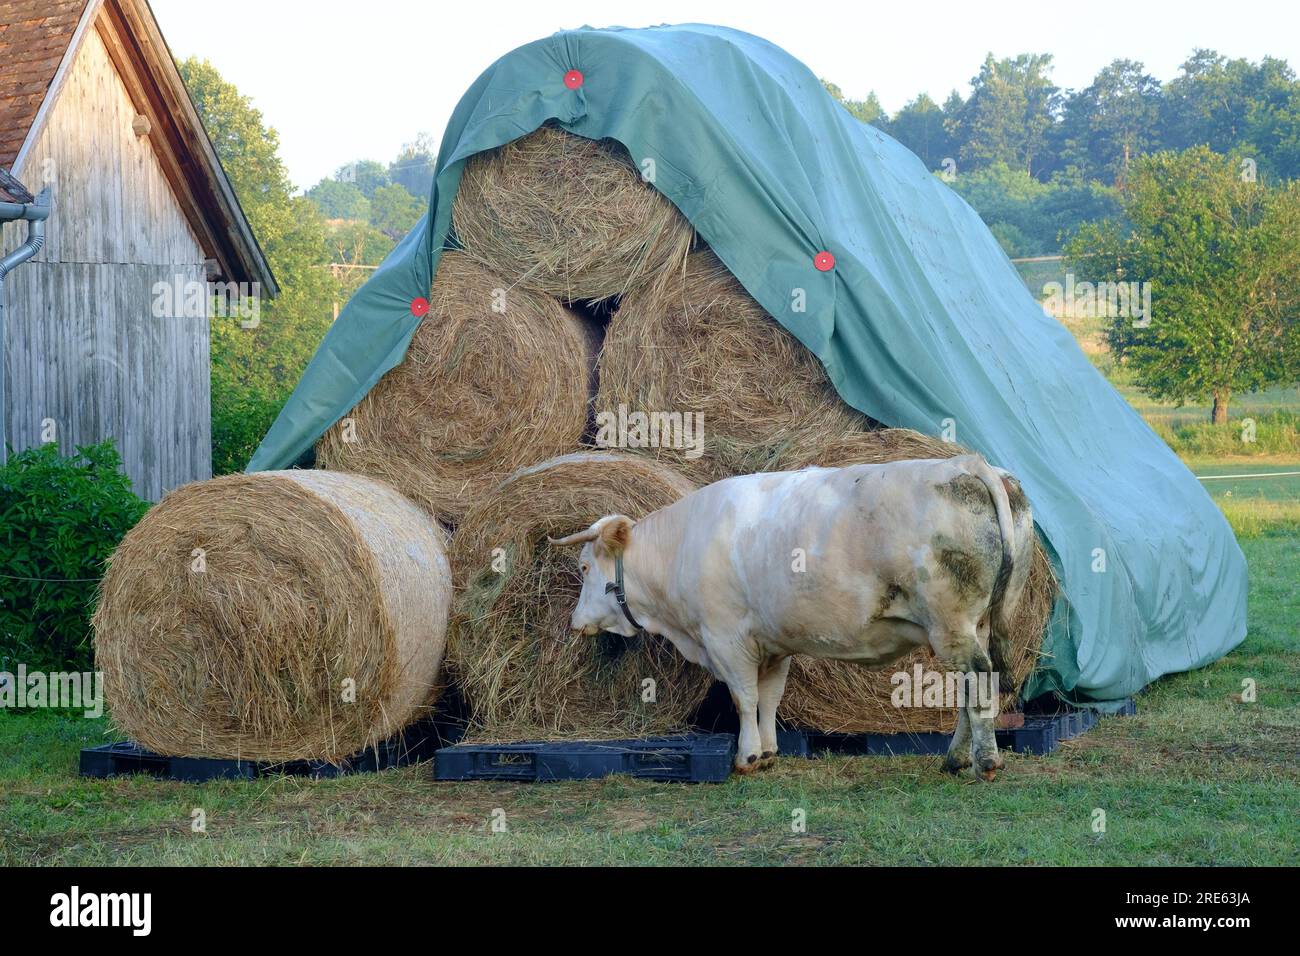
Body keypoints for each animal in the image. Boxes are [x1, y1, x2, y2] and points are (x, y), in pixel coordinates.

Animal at [549, 454, 1034, 780]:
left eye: (585, 567)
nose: (574, 621)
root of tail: (966, 463)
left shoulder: (726, 637)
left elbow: (744, 698)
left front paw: (746, 757)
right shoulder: (773, 645)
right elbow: (768, 698)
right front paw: (767, 752)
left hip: (950, 622)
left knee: (977, 678)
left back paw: (985, 762)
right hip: (976, 624)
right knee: (972, 685)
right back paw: (955, 759)